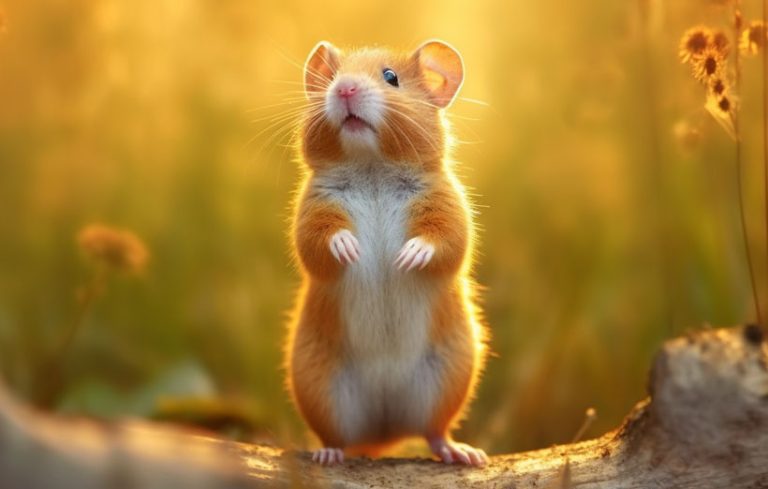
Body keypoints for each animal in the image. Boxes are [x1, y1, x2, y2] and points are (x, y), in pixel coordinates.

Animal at [285, 40, 488, 467]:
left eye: (391, 77)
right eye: (332, 77)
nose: (344, 88)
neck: (372, 166)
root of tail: (384, 433)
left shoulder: (448, 210)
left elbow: (444, 239)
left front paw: (409, 257)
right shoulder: (312, 213)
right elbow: (320, 239)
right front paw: (349, 248)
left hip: (446, 379)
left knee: (434, 432)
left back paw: (461, 452)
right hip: (323, 388)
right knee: (336, 436)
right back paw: (327, 454)